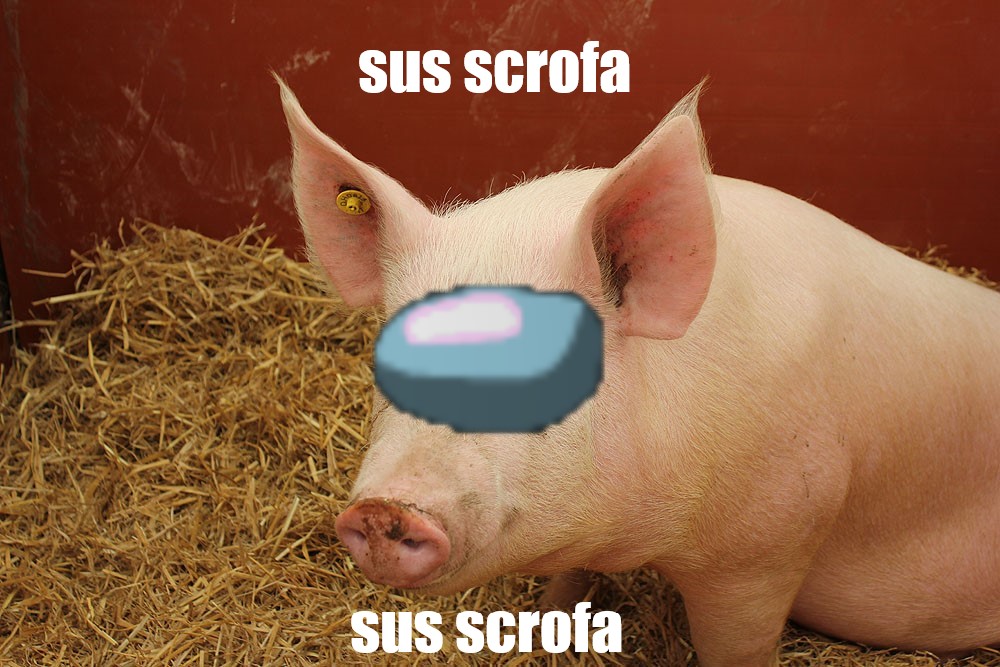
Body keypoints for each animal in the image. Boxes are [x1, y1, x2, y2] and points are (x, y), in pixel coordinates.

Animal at [276, 76, 1000, 666]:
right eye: (390, 364)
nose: (382, 510)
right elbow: (568, 580)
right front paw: (548, 625)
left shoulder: (772, 540)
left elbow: (737, 648)